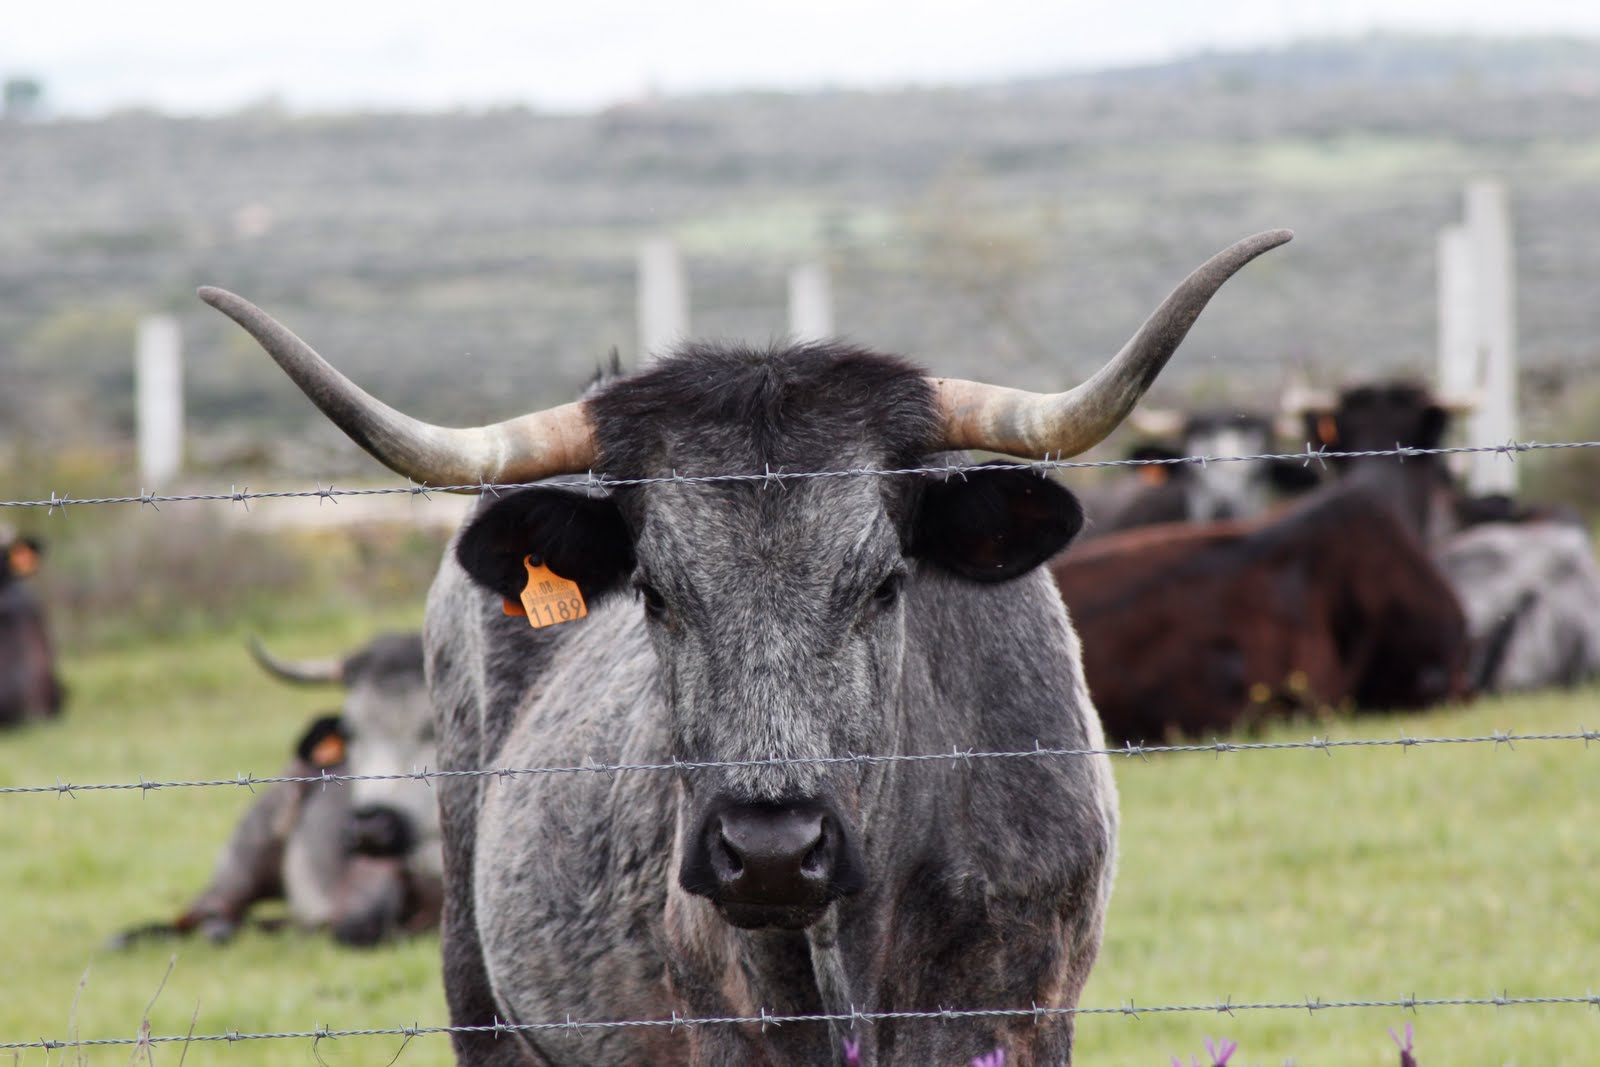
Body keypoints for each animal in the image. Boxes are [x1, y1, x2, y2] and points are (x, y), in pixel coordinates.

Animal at [113, 633, 443, 947]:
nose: (370, 825)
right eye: (351, 731)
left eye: (431, 728)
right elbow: (353, 929)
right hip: (246, 859)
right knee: (204, 909)